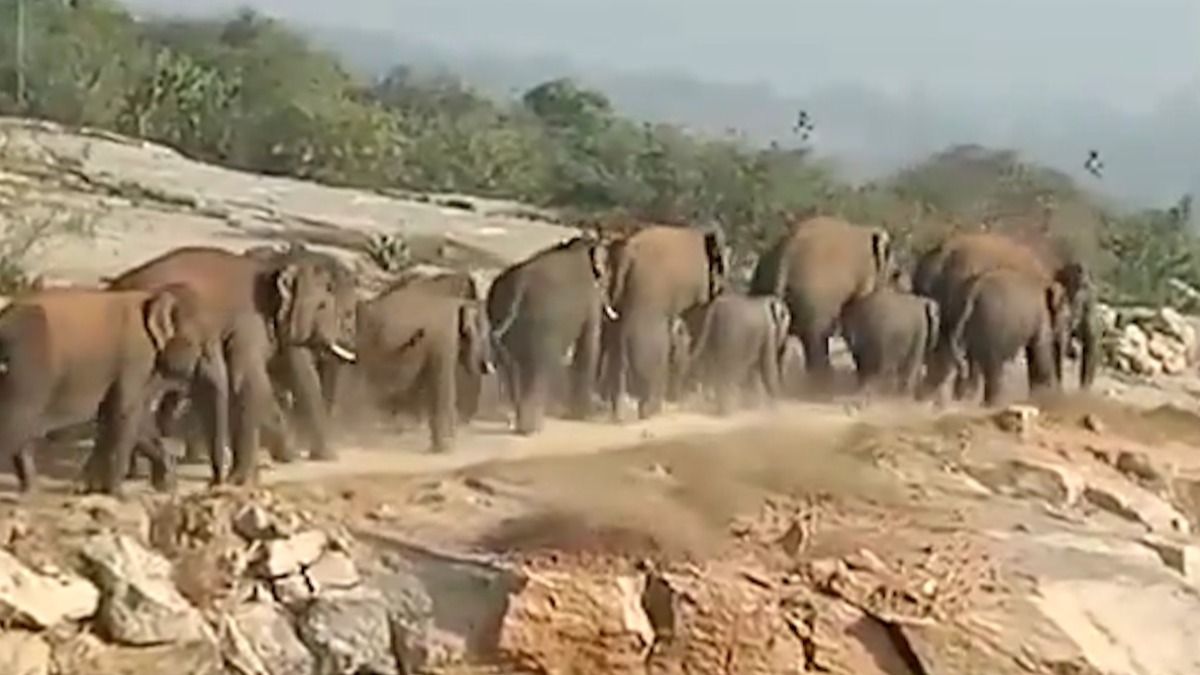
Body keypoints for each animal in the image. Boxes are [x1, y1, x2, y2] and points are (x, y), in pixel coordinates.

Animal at [0, 285, 228, 494]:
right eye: (204, 345)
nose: (212, 484)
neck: (155, 296)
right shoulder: (136, 359)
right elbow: (124, 414)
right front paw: (115, 493)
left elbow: (135, 420)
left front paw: (166, 485)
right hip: (29, 370)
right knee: (16, 421)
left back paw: (31, 491)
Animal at [354, 286, 494, 452]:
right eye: (484, 334)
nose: (485, 366)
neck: (460, 302)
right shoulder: (445, 340)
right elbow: (443, 386)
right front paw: (446, 448)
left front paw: (442, 445)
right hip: (372, 346)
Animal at [487, 235, 613, 435]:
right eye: (608, 274)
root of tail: (519, 286)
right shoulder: (591, 299)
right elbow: (589, 343)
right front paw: (582, 416)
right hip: (541, 327)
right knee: (537, 368)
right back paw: (532, 429)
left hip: (499, 320)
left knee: (511, 368)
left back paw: (518, 423)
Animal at [749, 216, 893, 392]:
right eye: (896, 275)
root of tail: (786, 253)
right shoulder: (864, 277)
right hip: (815, 295)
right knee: (817, 338)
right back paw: (821, 388)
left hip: (762, 285)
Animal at [921, 268, 1070, 406]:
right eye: (1067, 318)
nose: (1061, 394)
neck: (1048, 282)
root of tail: (973, 290)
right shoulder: (1042, 316)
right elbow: (1040, 349)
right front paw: (1044, 395)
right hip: (991, 323)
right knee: (993, 363)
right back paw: (994, 404)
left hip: (956, 316)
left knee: (968, 358)